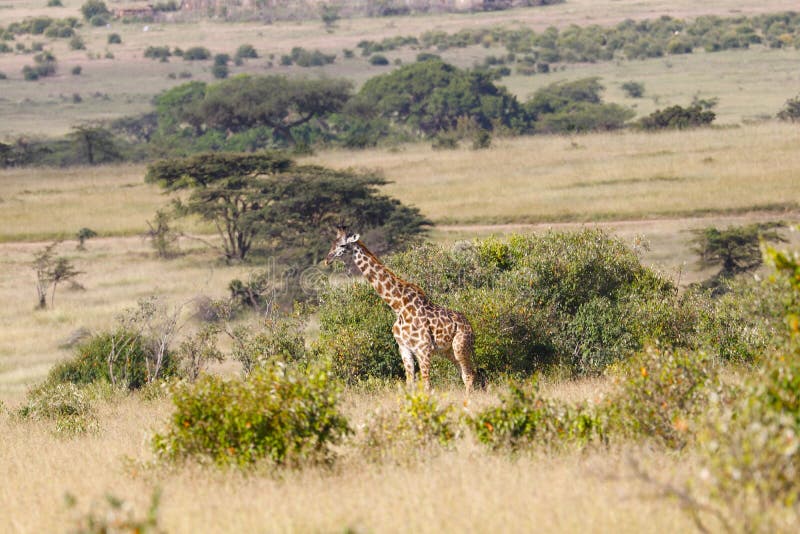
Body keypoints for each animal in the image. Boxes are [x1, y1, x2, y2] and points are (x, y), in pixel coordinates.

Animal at [325, 228, 477, 393]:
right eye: (333, 243)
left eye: (342, 245)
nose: (327, 259)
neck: (399, 307)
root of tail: (470, 326)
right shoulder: (404, 349)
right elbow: (410, 384)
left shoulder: (423, 349)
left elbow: (427, 386)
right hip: (448, 351)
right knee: (464, 375)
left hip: (460, 346)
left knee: (469, 376)